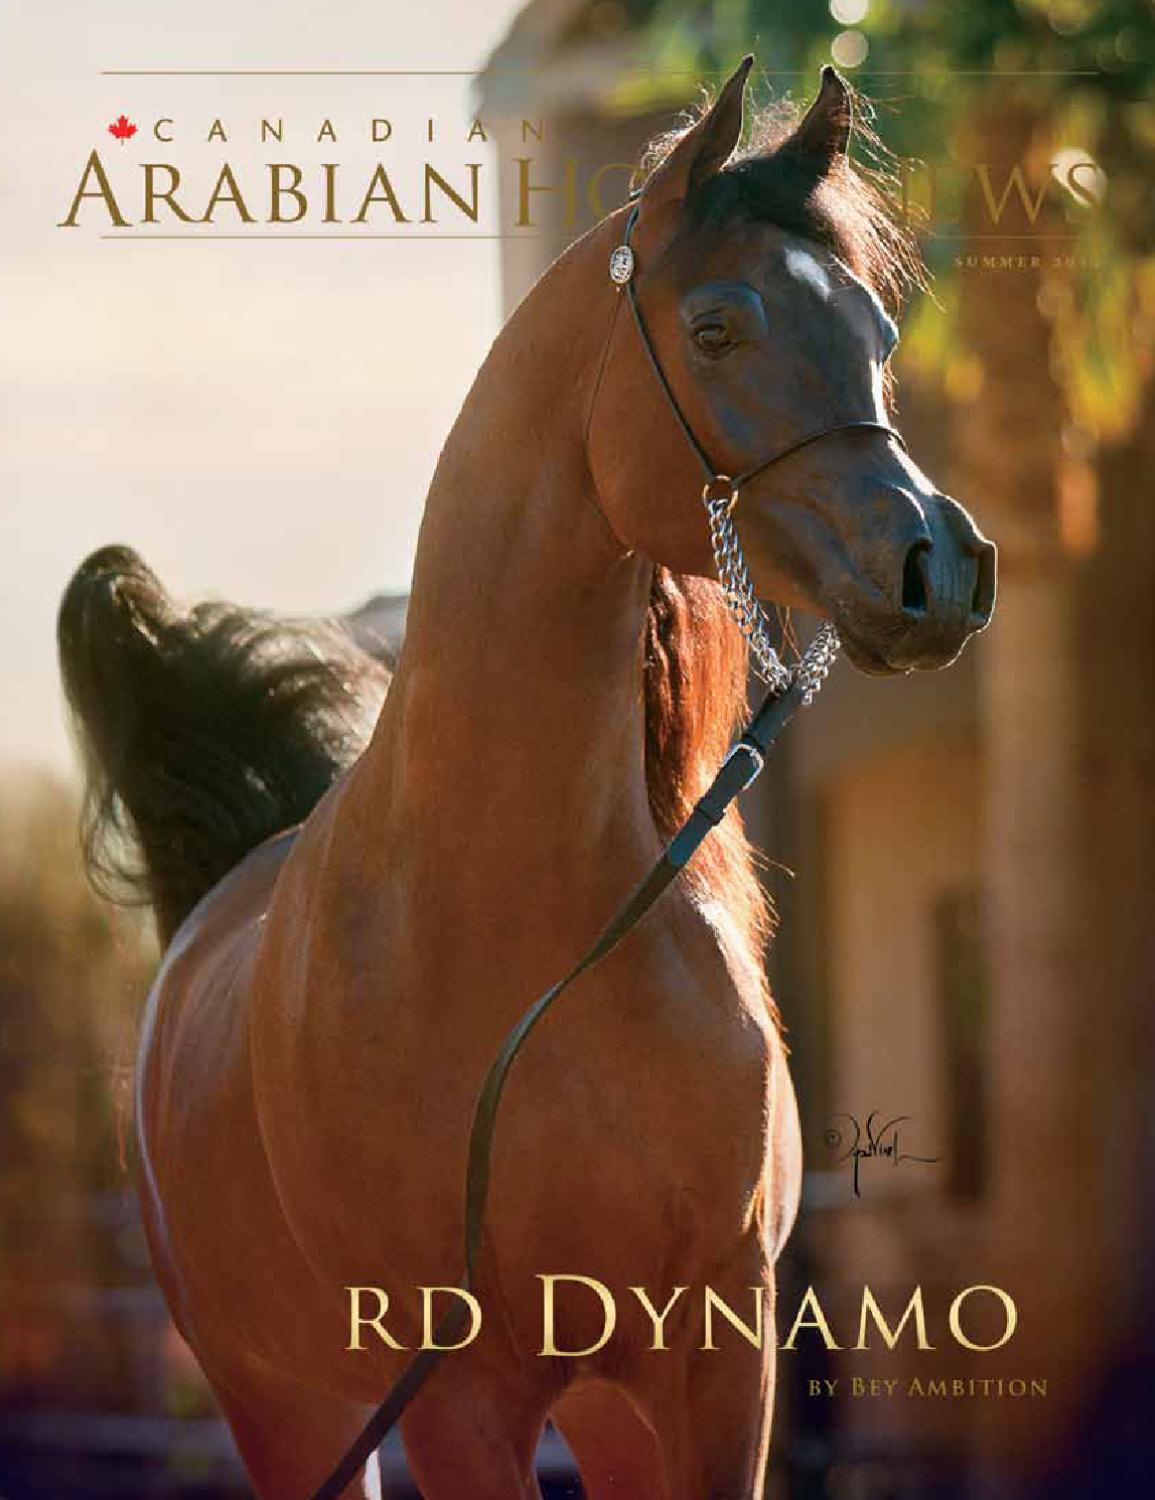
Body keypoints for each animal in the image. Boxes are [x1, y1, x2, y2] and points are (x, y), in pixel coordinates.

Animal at [58, 60, 995, 1500]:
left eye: (880, 334)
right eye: (716, 328)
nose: (938, 569)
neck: (526, 928)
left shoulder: (713, 1363)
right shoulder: (460, 1397)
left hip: (596, 1407)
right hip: (292, 1410)